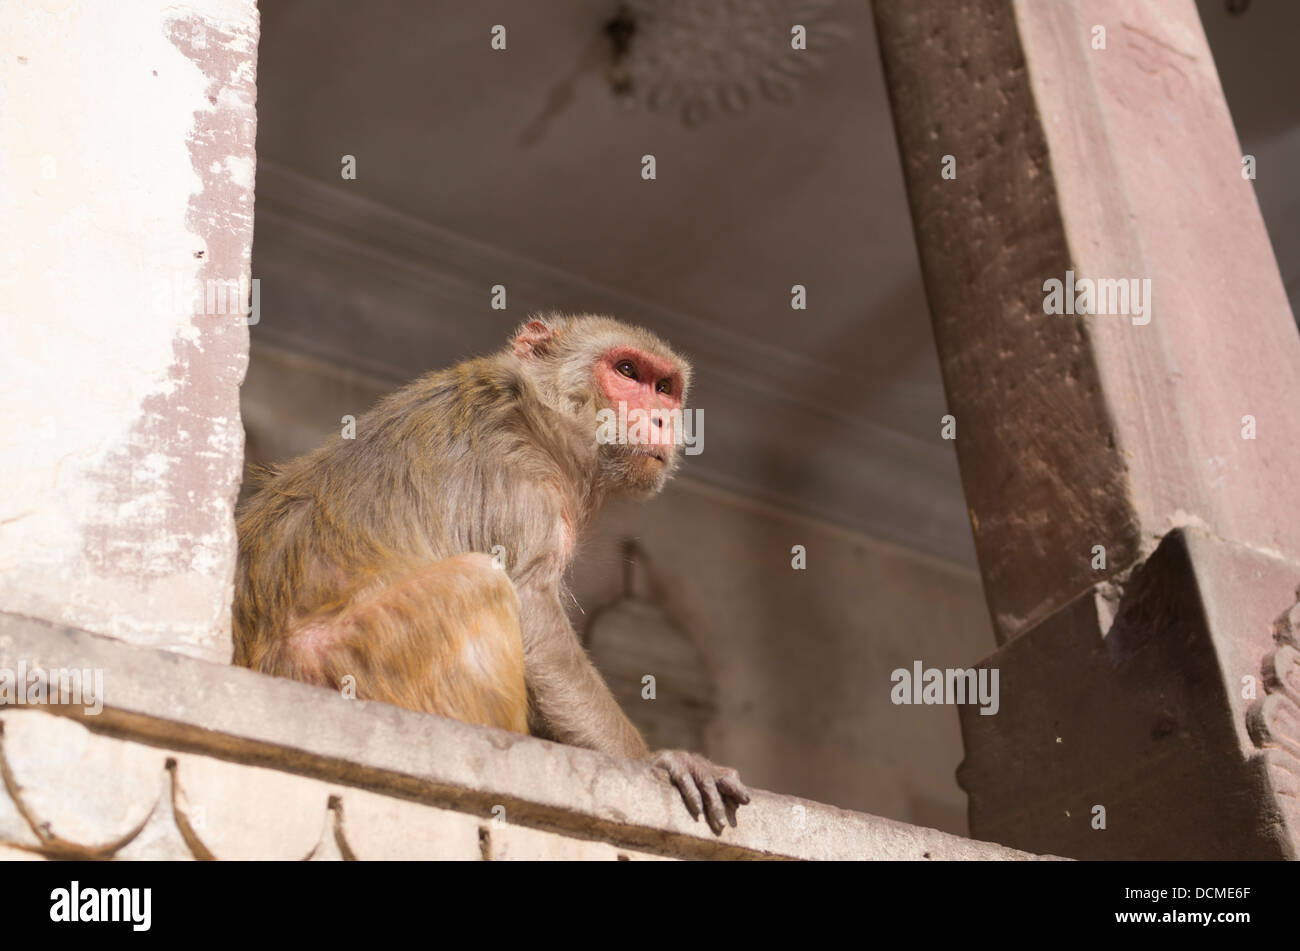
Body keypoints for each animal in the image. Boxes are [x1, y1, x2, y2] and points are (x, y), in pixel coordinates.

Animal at [233, 314, 750, 833]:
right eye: (626, 370)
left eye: (664, 388)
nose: (662, 419)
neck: (539, 417)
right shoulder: (520, 483)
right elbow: (534, 615)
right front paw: (655, 762)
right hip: (349, 662)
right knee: (479, 580)